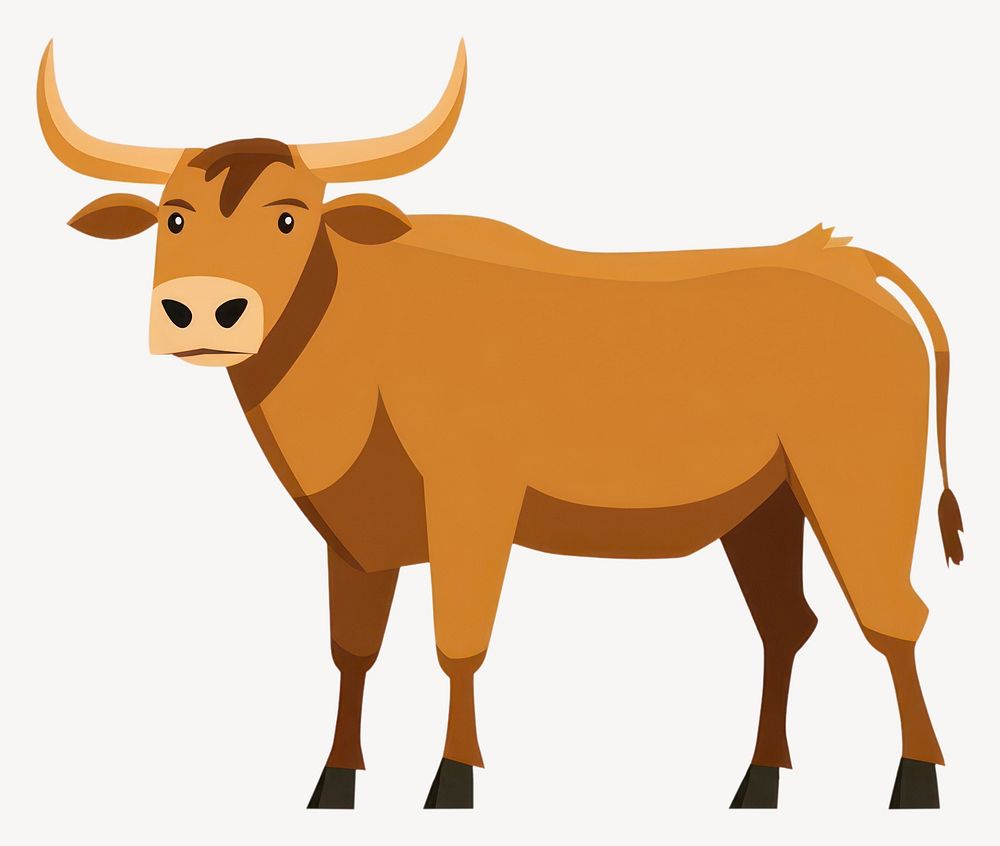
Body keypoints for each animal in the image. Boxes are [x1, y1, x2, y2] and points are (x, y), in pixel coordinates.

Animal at [37, 39, 963, 810]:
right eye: (173, 217)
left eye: (291, 216)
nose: (201, 310)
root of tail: (847, 265)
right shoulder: (355, 536)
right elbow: (352, 649)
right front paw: (335, 784)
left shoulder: (472, 499)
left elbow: (459, 639)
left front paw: (453, 781)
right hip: (765, 508)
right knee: (787, 624)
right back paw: (758, 784)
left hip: (855, 490)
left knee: (897, 617)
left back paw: (917, 781)